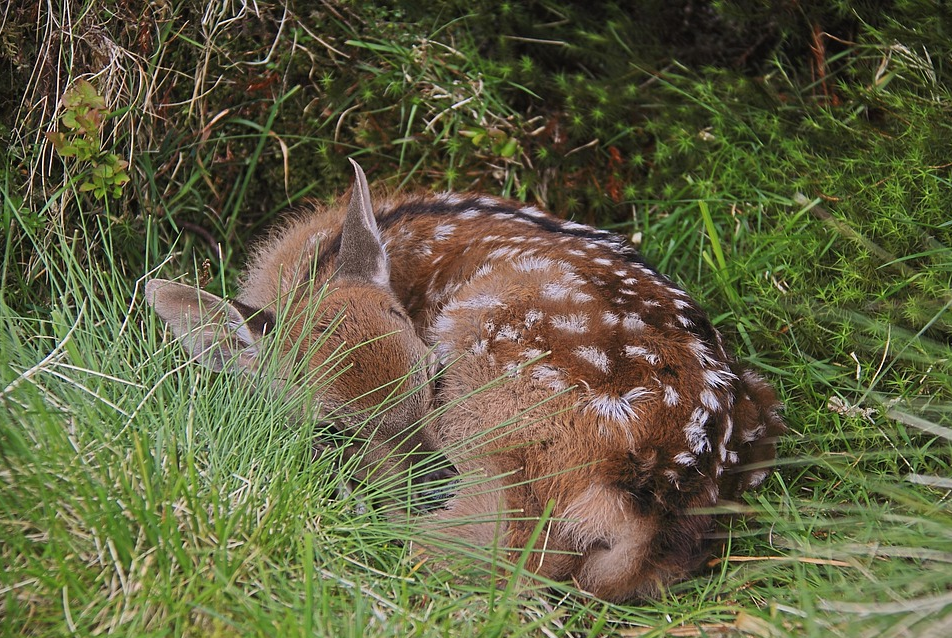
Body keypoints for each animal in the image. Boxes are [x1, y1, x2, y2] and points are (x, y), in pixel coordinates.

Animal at [146, 159, 784, 602]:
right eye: (332, 429)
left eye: (432, 375)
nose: (431, 478)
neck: (306, 270)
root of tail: (659, 490)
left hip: (496, 366)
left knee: (505, 548)